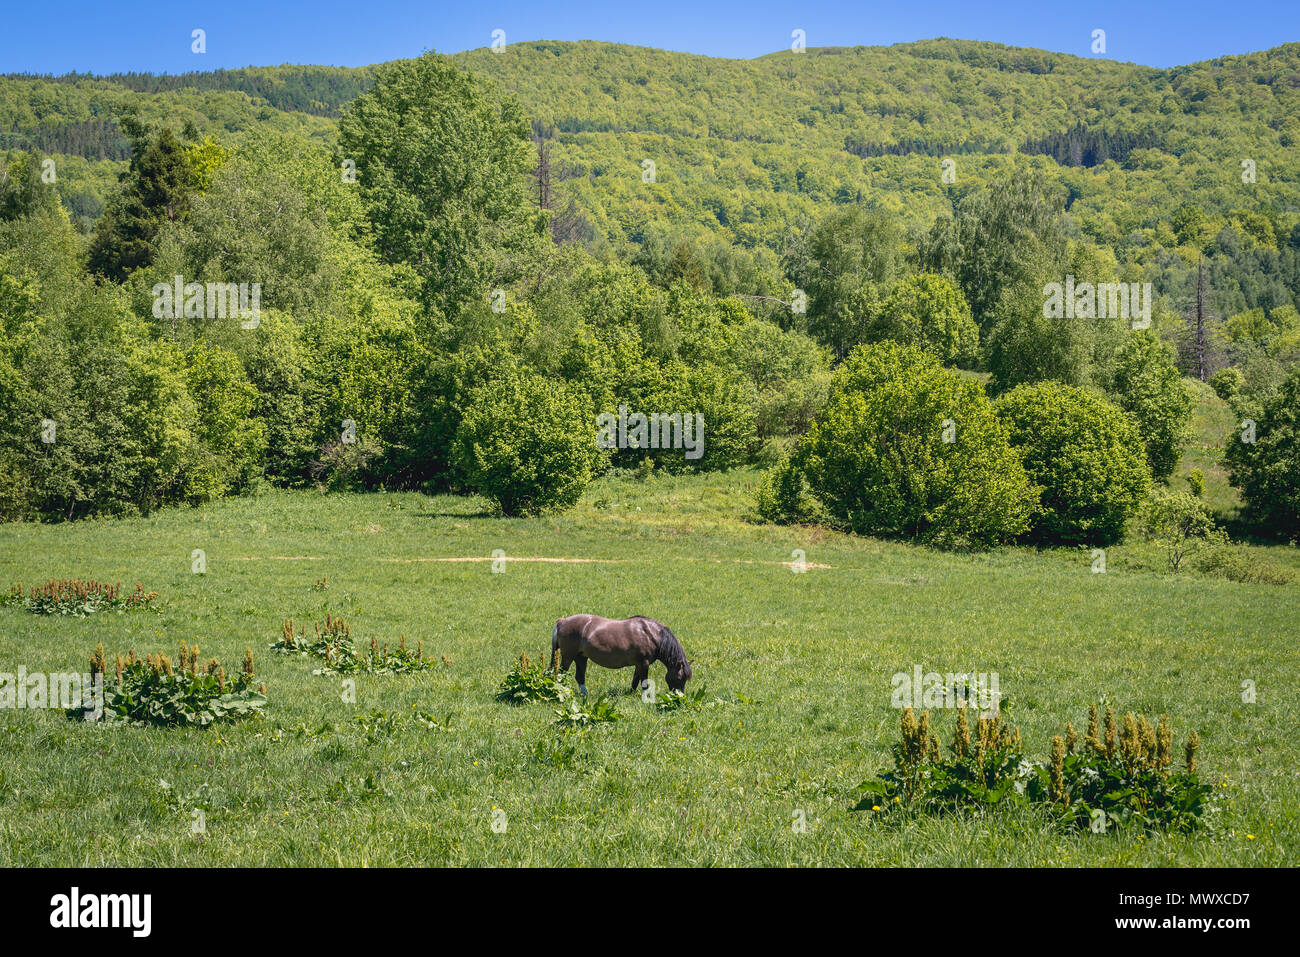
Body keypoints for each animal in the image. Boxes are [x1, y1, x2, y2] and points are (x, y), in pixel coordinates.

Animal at [550, 614, 692, 696]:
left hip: (581, 657)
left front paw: (631, 694)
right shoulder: (644, 664)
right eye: (680, 677)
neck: (650, 634)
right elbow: (644, 683)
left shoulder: (639, 664)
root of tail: (562, 621)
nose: (679, 697)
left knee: (579, 677)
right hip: (568, 657)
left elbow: (635, 681)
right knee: (561, 674)